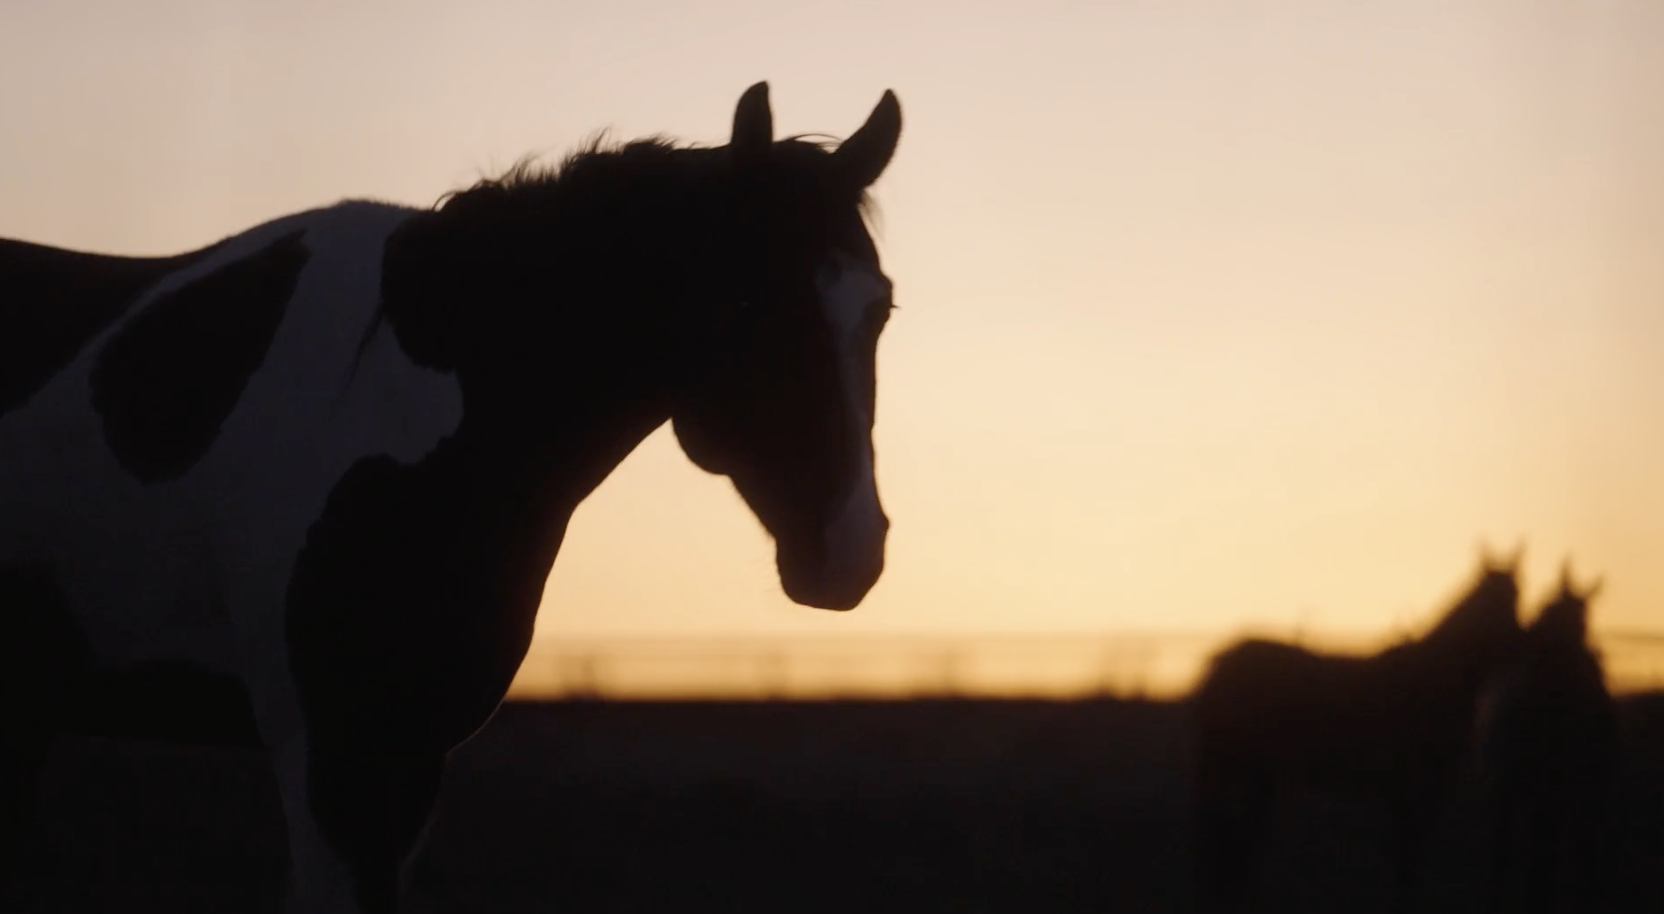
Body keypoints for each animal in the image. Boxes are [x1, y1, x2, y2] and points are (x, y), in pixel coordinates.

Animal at [0, 81, 902, 913]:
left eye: (880, 309)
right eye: (744, 304)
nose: (851, 550)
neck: (391, 403)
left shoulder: (412, 757)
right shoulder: (330, 756)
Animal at [1189, 548, 1527, 912]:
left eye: (1518, 595)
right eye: (1491, 603)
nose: (1520, 648)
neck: (1431, 679)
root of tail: (1217, 666)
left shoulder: (1422, 790)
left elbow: (1409, 861)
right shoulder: (1411, 789)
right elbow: (1406, 863)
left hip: (1254, 774)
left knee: (1235, 849)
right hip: (1233, 769)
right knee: (1223, 845)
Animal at [1474, 563, 1620, 914]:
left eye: (1583, 623)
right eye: (1546, 608)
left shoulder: (1581, 796)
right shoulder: (1544, 794)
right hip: (1510, 794)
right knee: (1509, 850)